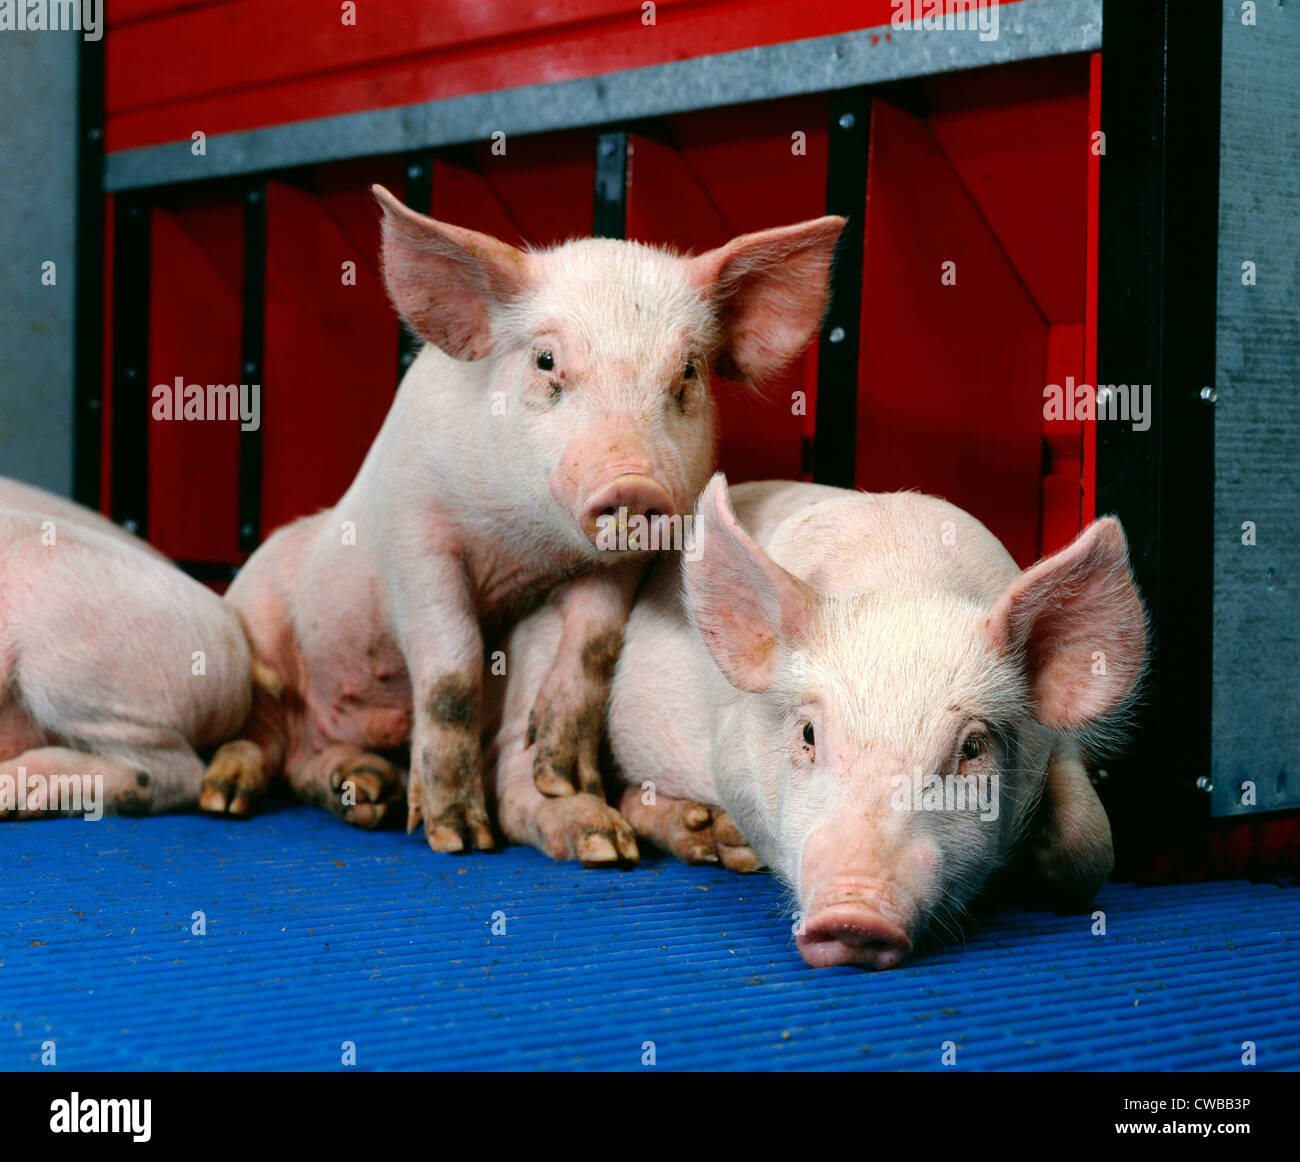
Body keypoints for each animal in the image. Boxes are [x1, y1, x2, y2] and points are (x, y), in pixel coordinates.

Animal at [200, 188, 844, 853]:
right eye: (545, 359)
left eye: (688, 370)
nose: (633, 482)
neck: (524, 545)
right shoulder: (416, 533)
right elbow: (451, 669)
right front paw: (457, 837)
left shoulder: (620, 566)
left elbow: (595, 641)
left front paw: (561, 775)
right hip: (258, 623)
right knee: (261, 732)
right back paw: (228, 798)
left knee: (314, 761)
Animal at [488, 475, 1146, 968]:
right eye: (808, 734)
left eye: (973, 749)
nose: (853, 914)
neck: (904, 575)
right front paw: (740, 847)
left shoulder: (1055, 748)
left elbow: (1093, 845)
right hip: (539, 664)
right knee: (517, 782)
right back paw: (606, 843)